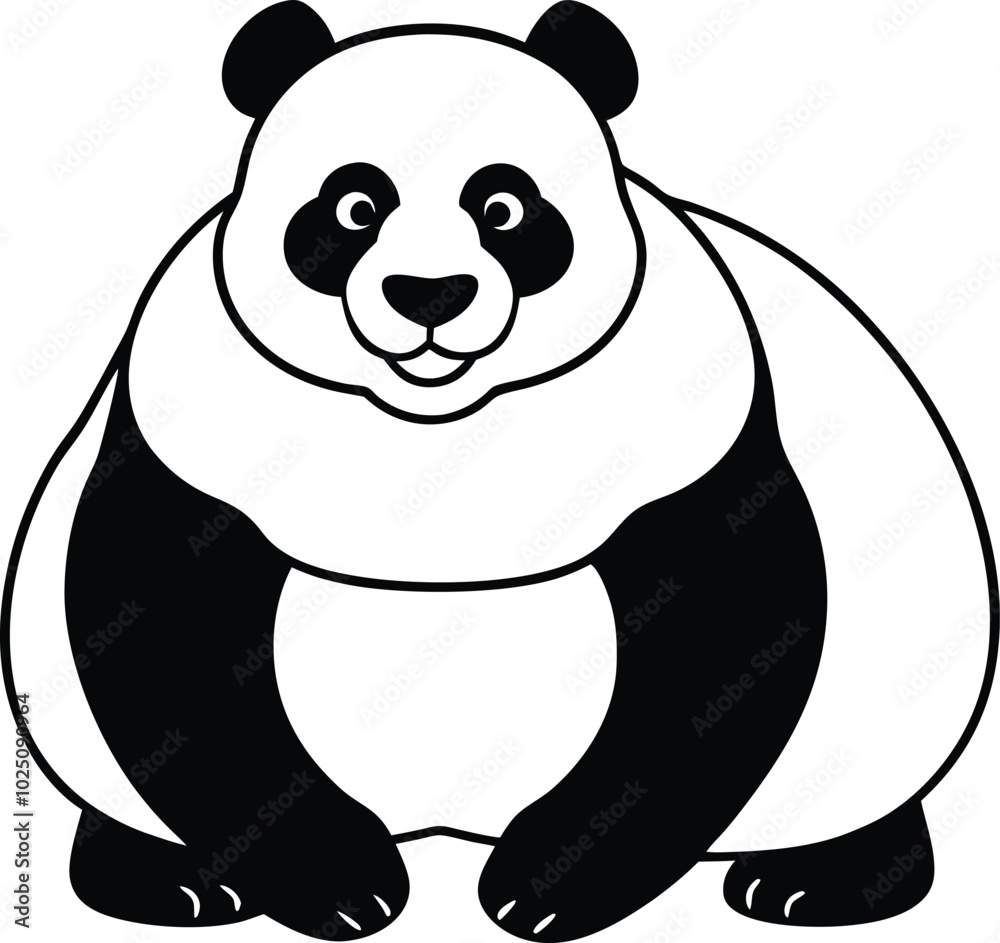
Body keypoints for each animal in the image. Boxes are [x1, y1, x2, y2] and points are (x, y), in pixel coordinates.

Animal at [3, 1, 996, 940]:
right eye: (354, 207)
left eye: (506, 209)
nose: (430, 294)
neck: (438, 424)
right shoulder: (194, 424)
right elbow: (165, 639)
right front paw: (345, 887)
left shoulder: (695, 424)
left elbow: (724, 638)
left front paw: (543, 888)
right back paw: (171, 881)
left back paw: (814, 880)